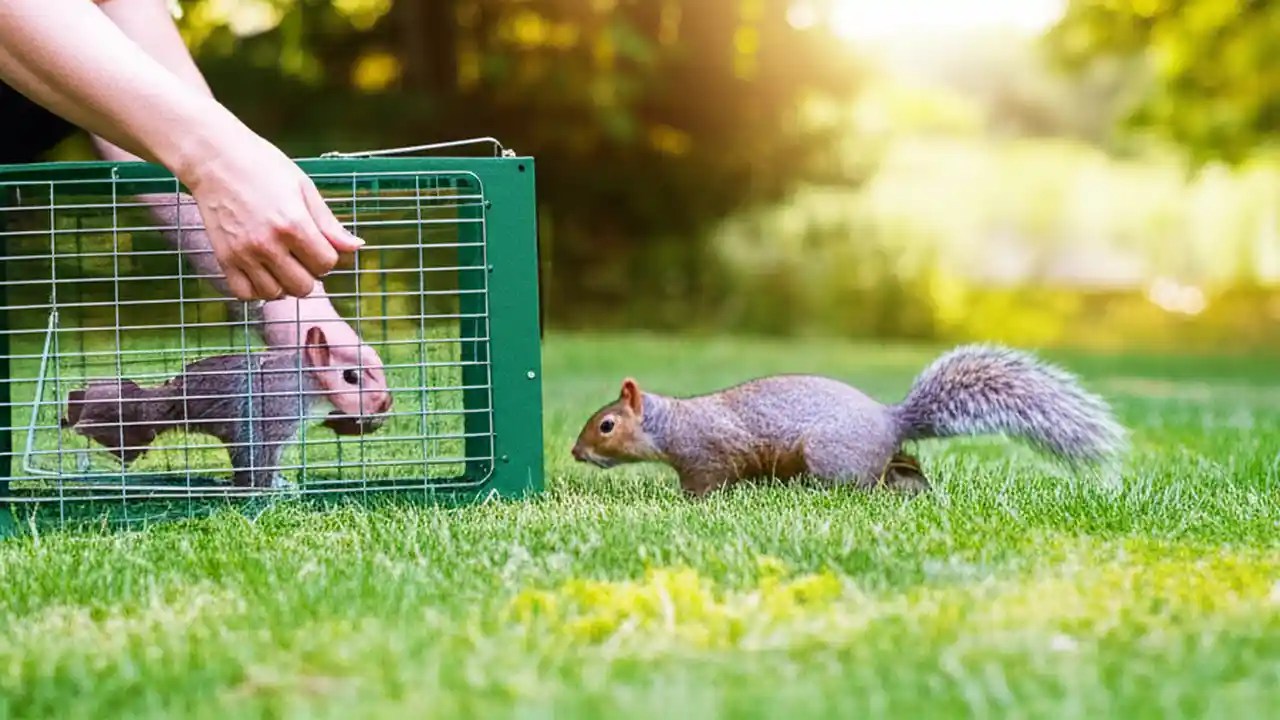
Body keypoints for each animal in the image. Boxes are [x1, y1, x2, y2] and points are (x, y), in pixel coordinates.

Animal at [60, 326, 392, 488]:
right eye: (350, 376)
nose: (385, 402)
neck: (305, 384)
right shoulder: (274, 422)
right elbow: (265, 463)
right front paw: (275, 488)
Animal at [570, 344, 1127, 497]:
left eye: (606, 425)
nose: (576, 453)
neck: (670, 424)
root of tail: (891, 421)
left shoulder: (708, 456)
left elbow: (705, 484)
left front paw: (687, 502)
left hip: (830, 458)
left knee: (864, 484)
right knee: (901, 466)